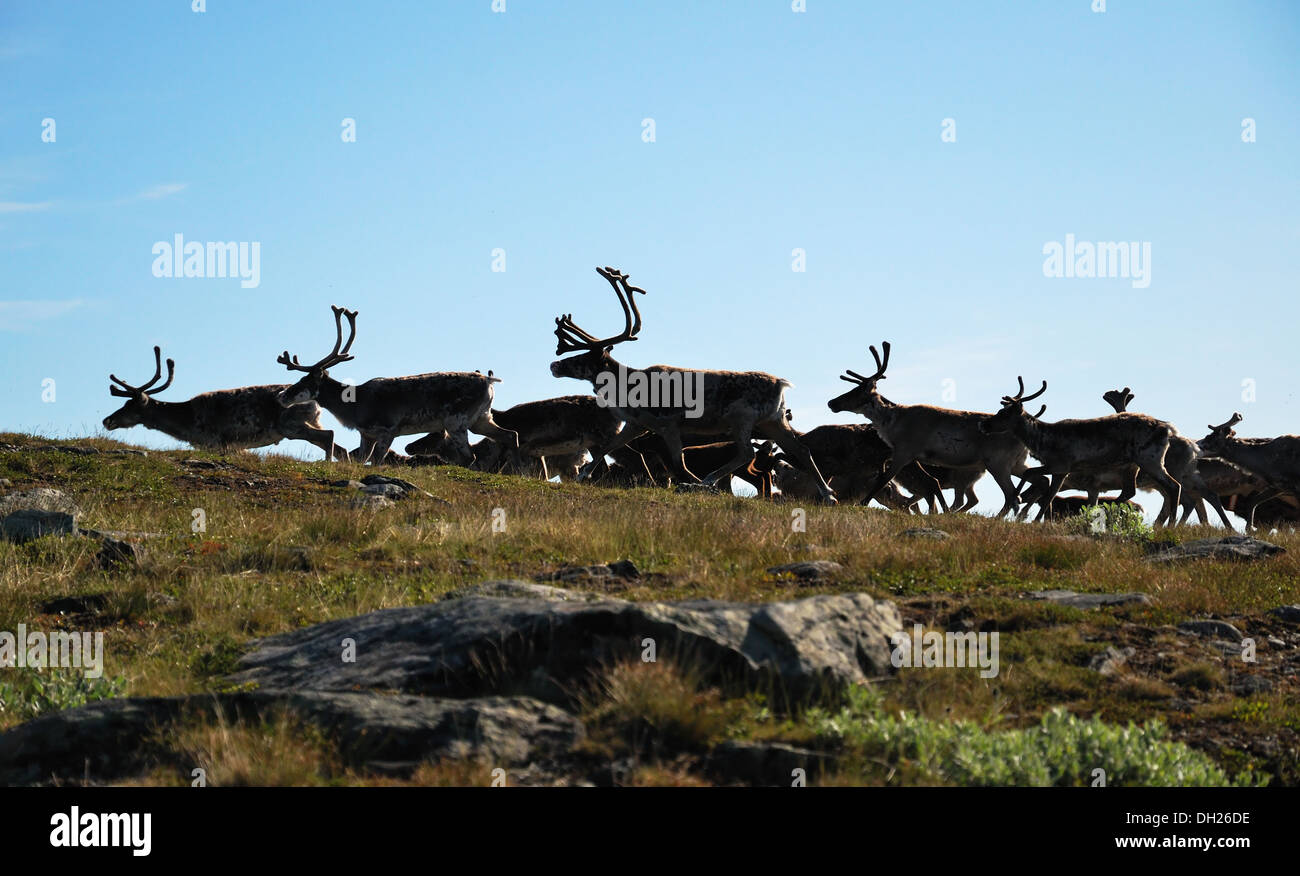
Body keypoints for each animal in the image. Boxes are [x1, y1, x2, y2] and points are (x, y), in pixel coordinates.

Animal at [103, 345, 348, 459]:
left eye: (129, 405)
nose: (107, 420)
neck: (187, 422)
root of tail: (316, 405)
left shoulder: (217, 441)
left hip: (290, 426)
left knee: (329, 436)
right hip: (307, 424)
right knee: (341, 447)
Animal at [276, 305, 520, 466]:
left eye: (305, 380)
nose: (282, 395)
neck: (353, 406)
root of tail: (489, 381)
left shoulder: (387, 430)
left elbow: (377, 462)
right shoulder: (366, 434)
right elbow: (362, 460)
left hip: (456, 421)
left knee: (471, 457)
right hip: (481, 419)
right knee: (511, 435)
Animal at [549, 266, 836, 503]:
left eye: (584, 357)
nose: (554, 365)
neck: (627, 387)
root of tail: (782, 385)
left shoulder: (668, 424)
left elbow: (680, 465)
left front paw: (697, 485)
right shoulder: (637, 424)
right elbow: (607, 448)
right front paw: (582, 475)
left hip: (742, 418)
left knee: (747, 453)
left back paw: (708, 481)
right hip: (773, 421)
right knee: (801, 449)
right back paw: (829, 495)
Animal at [826, 342, 1044, 518]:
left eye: (855, 391)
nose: (831, 403)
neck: (893, 423)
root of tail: (1023, 441)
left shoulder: (904, 450)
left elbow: (884, 478)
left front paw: (862, 503)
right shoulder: (914, 456)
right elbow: (930, 483)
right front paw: (941, 511)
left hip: (997, 463)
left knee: (1011, 495)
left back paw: (1002, 518)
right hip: (1016, 464)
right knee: (1038, 480)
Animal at [978, 377, 1183, 526]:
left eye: (1003, 413)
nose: (983, 424)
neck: (1042, 440)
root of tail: (1168, 429)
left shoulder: (1060, 465)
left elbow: (1039, 484)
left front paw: (1019, 502)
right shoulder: (1060, 469)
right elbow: (1046, 491)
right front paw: (1031, 514)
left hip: (1150, 459)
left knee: (1174, 486)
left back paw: (1171, 525)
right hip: (1133, 465)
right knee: (1131, 491)